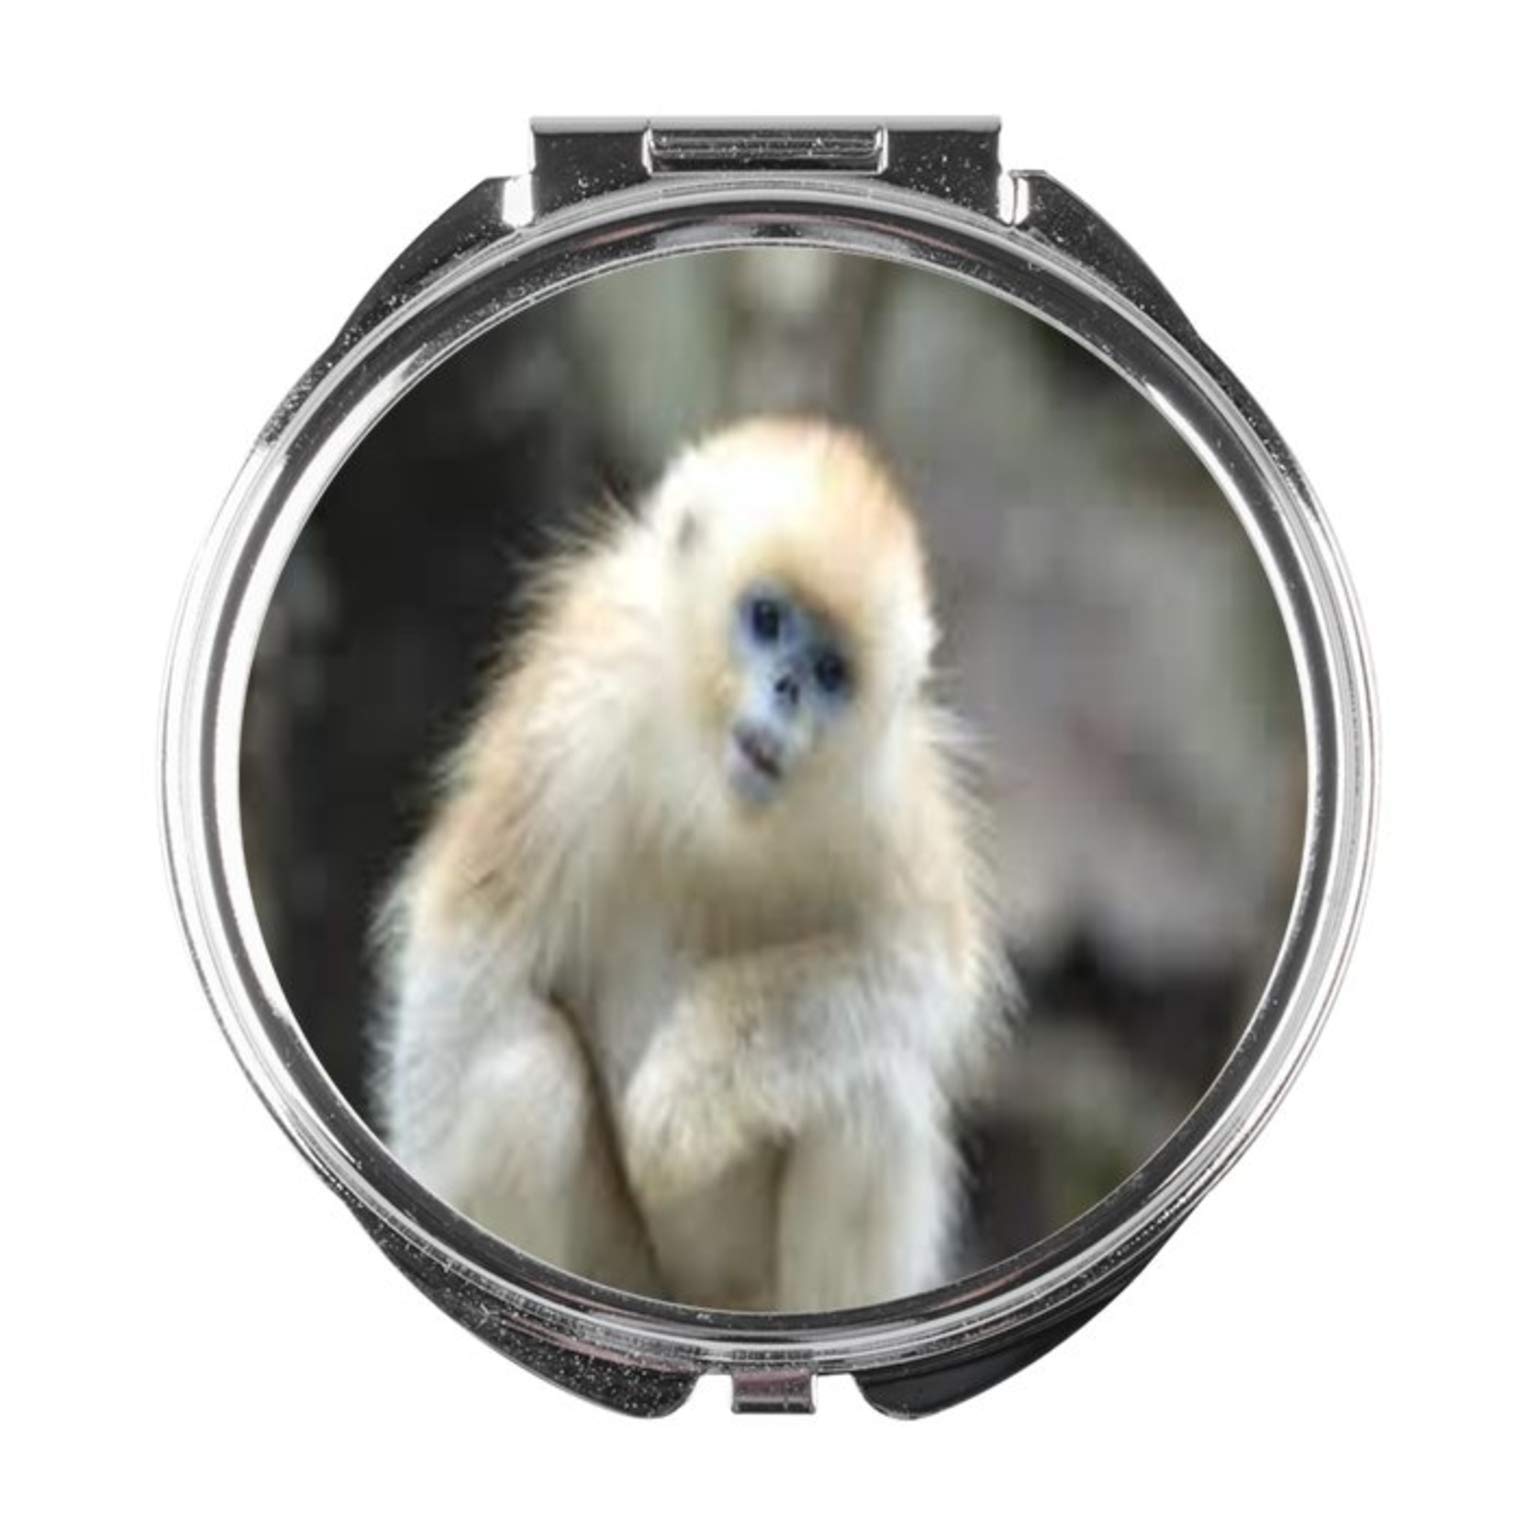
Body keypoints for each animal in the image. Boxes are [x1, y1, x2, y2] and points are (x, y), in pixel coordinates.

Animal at [376, 418, 1010, 1312]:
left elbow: (919, 976)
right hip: (619, 1266)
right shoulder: (573, 713)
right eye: (766, 619)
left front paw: (685, 1100)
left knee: (868, 1092)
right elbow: (467, 955)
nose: (786, 688)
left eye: (830, 672)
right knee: (521, 1077)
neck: (714, 800)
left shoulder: (885, 800)